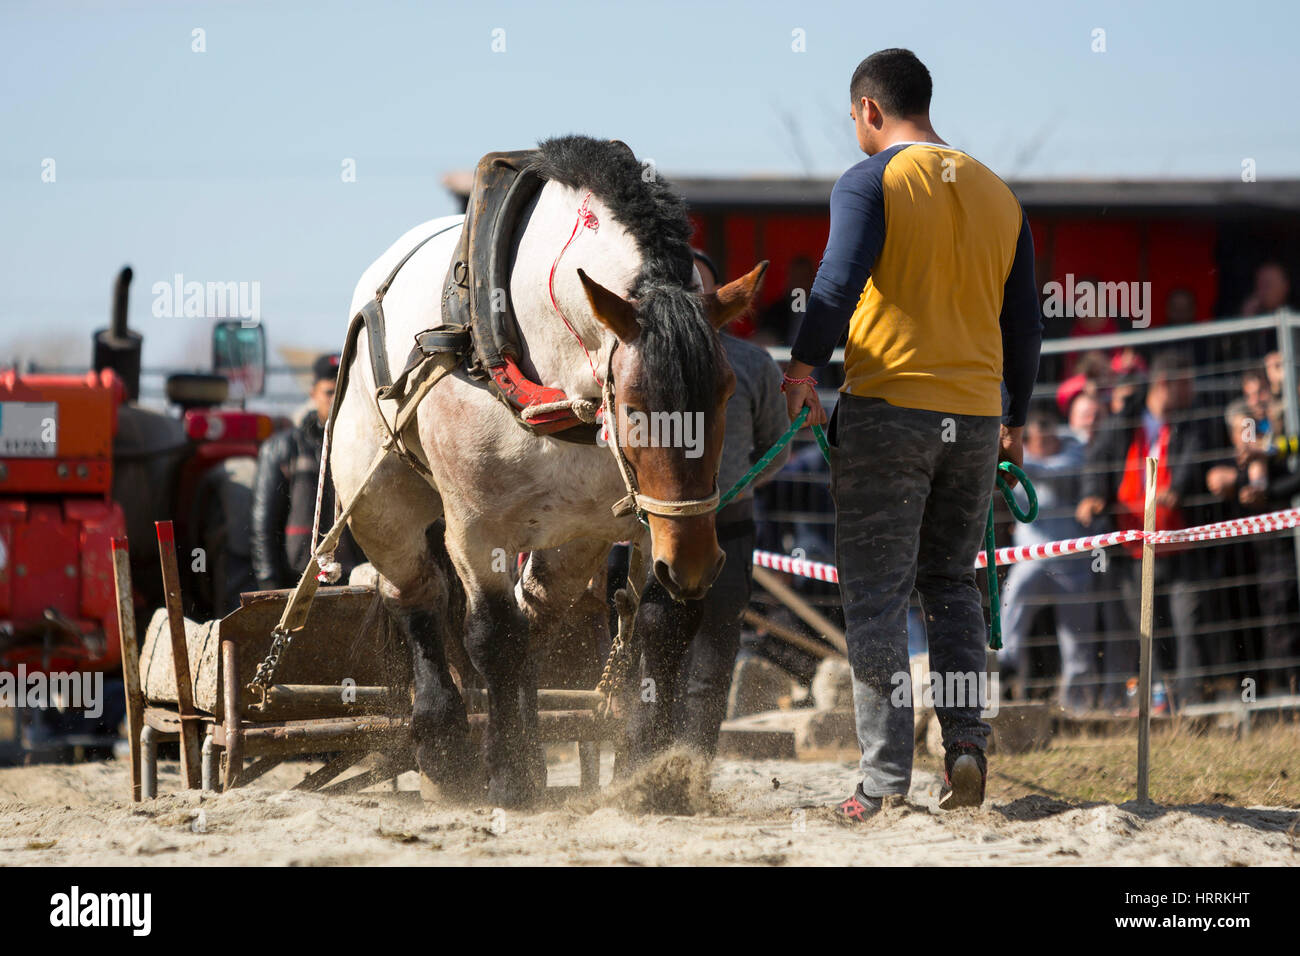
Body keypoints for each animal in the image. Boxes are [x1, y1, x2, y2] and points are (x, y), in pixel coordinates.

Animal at [330, 136, 767, 806]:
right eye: (633, 406)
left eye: (723, 395)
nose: (695, 564)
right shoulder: (475, 528)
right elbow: (491, 636)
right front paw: (508, 776)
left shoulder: (654, 524)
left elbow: (662, 622)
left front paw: (650, 771)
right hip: (380, 502)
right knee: (416, 595)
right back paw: (447, 748)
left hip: (574, 539)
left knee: (533, 612)